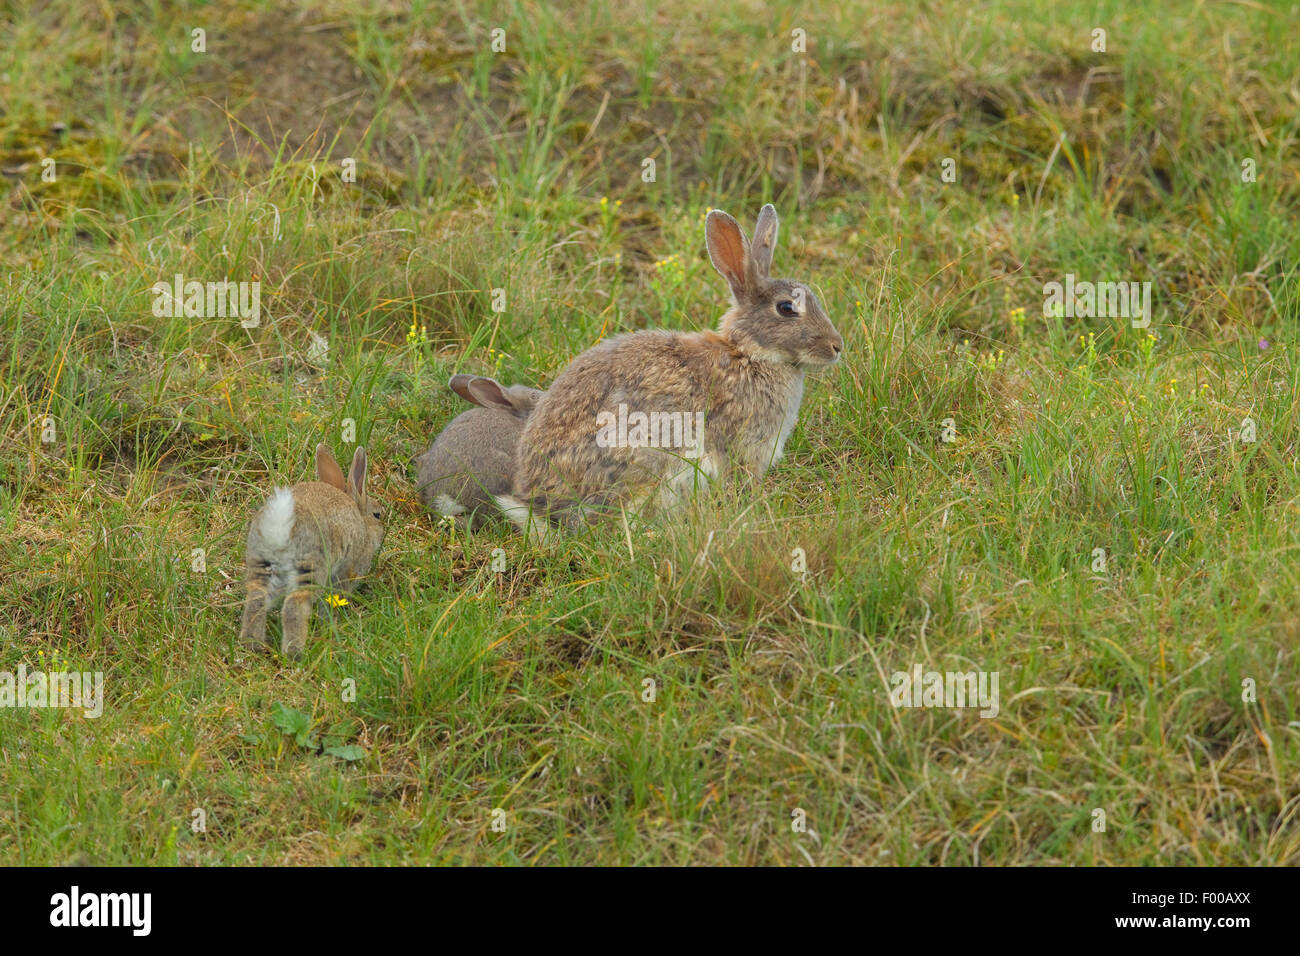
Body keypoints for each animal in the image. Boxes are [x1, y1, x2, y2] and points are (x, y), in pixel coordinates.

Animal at [239, 444, 385, 658]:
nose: (381, 534)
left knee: (256, 598)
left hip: (261, 561)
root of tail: (282, 523)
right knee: (295, 604)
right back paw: (295, 653)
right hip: (310, 565)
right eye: (377, 515)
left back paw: (252, 644)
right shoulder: (348, 571)